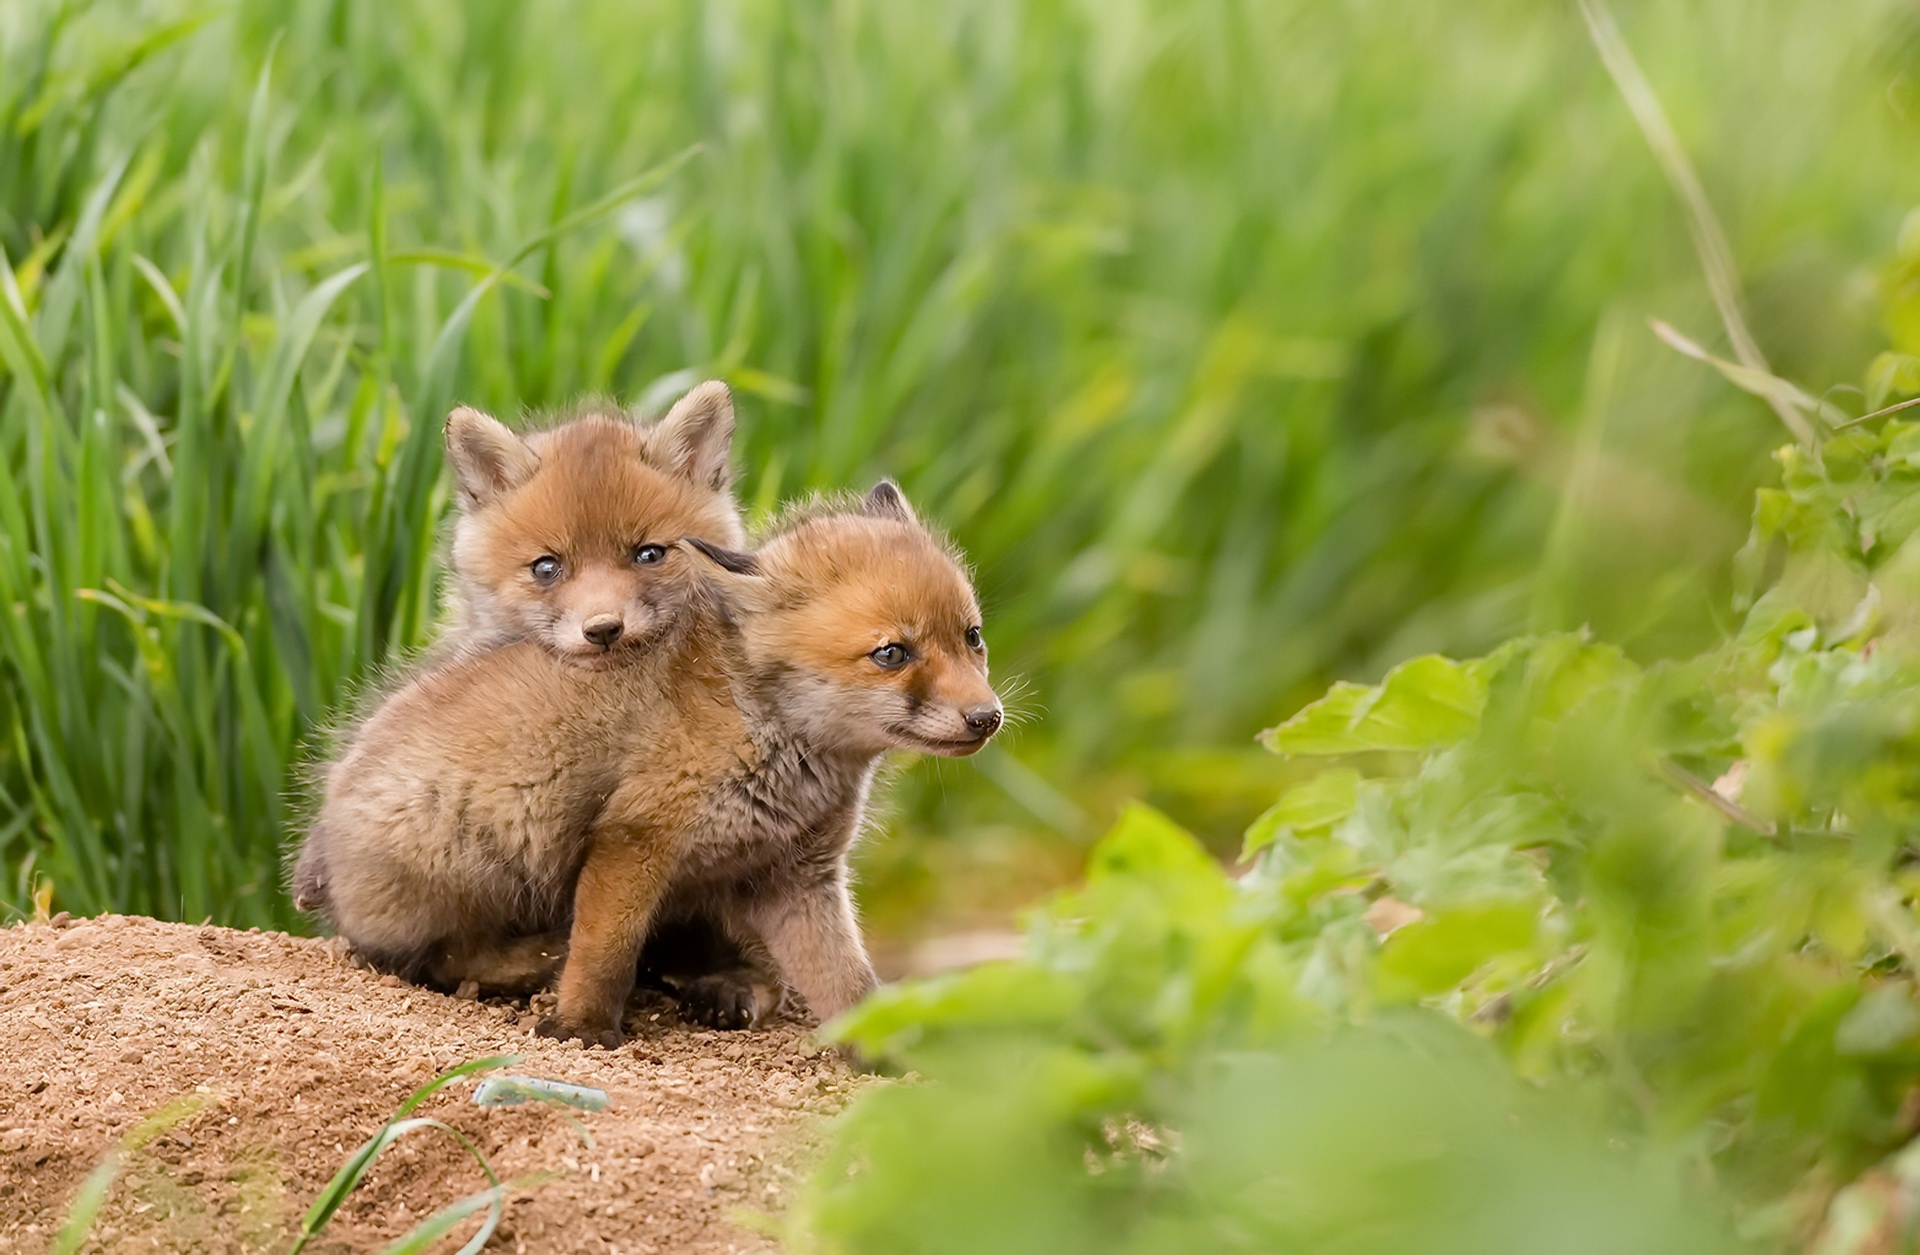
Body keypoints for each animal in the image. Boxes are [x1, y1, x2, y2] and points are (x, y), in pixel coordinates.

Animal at [295, 482, 1001, 1047]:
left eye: (972, 638)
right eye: (892, 654)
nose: (987, 718)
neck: (769, 737)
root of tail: (322, 851)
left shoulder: (799, 879)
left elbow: (852, 988)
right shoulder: (634, 840)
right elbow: (604, 954)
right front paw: (580, 1029)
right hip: (475, 859)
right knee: (430, 960)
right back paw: (535, 962)